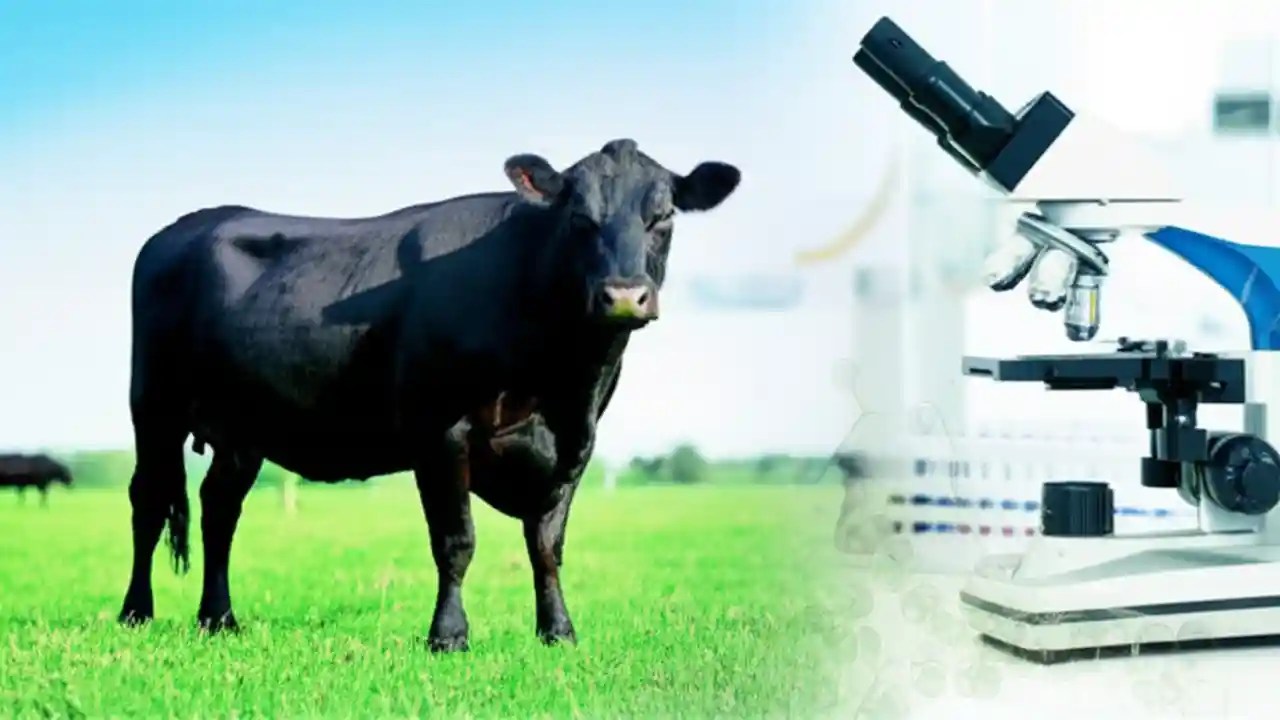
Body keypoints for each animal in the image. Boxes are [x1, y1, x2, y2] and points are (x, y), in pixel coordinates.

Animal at [117, 138, 740, 652]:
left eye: (663, 217)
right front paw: (449, 635)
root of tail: (185, 226)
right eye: (580, 217)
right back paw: (136, 613)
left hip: (243, 429)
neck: (559, 379)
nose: (624, 295)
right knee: (148, 502)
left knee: (219, 508)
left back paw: (218, 618)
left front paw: (558, 630)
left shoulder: (576, 441)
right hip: (154, 406)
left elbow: (547, 543)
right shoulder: (442, 430)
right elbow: (455, 540)